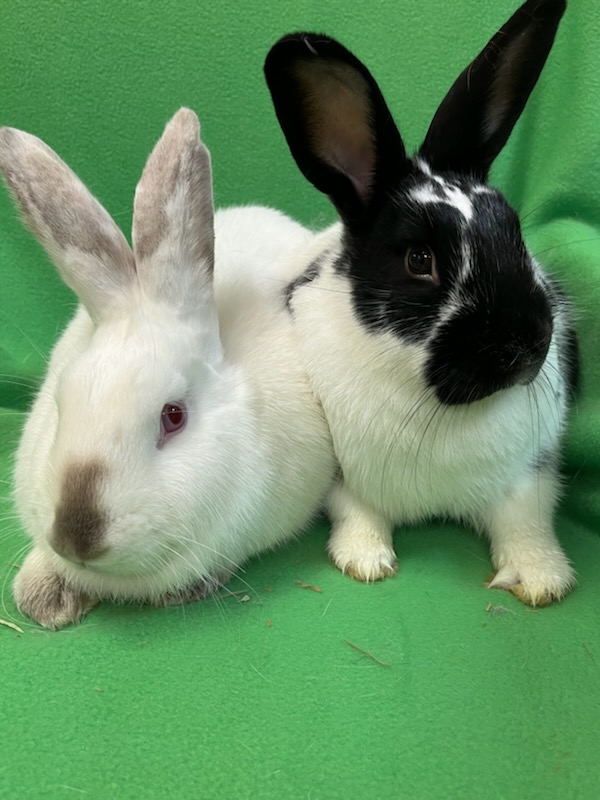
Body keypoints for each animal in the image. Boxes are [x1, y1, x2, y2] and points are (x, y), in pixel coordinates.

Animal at [263, 0, 578, 606]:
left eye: (515, 232)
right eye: (419, 260)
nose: (527, 345)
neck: (436, 406)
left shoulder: (530, 474)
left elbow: (526, 523)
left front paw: (543, 580)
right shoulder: (345, 476)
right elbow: (358, 513)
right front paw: (365, 561)